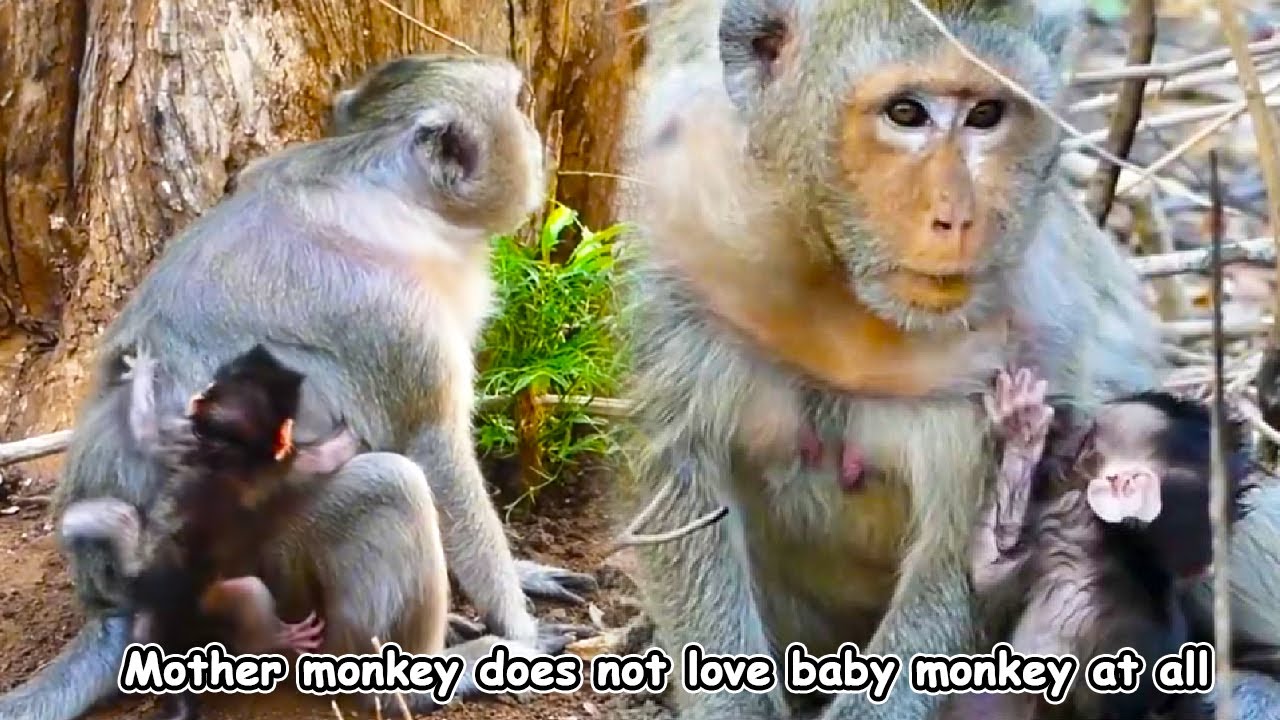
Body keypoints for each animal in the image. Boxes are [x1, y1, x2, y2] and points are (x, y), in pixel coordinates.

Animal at [0, 54, 597, 720]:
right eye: (516, 104)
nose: (536, 139)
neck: (379, 186)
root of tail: (116, 602)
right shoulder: (402, 320)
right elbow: (436, 455)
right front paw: (518, 631)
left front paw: (523, 575)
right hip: (259, 562)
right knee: (392, 487)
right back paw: (423, 676)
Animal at [964, 367, 1255, 720]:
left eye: (1087, 442)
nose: (1067, 430)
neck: (1138, 557)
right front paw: (1024, 425)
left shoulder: (1066, 540)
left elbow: (987, 575)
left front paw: (1023, 425)